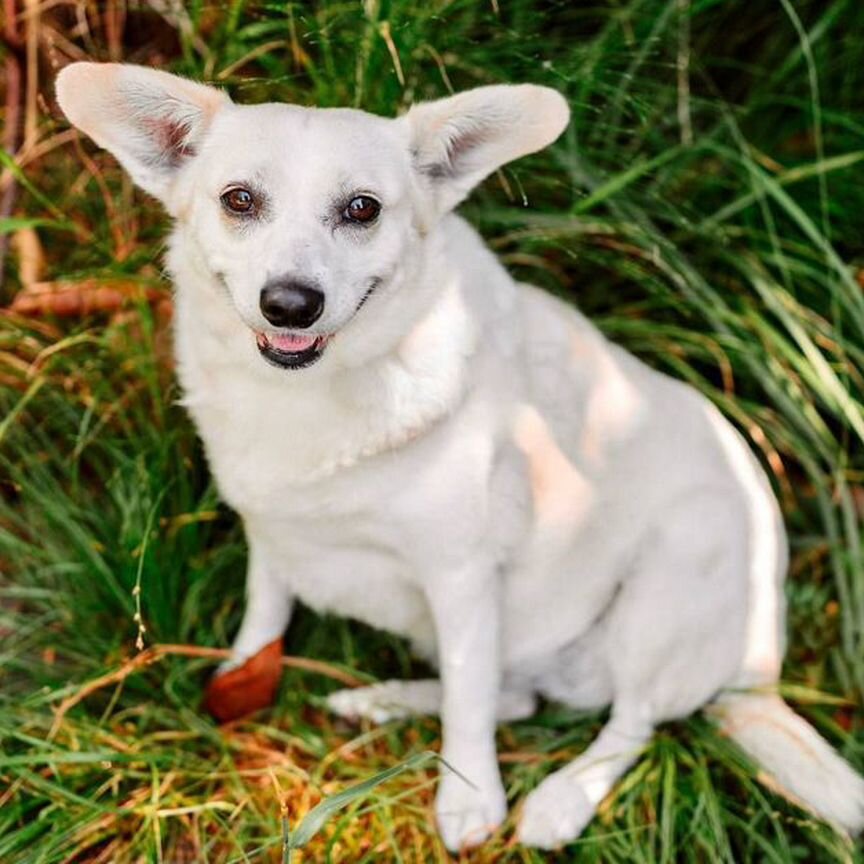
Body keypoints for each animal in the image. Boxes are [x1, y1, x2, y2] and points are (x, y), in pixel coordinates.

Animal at [57, 62, 860, 852]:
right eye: (239, 200)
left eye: (362, 209)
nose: (289, 304)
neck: (309, 396)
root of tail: (758, 670)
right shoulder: (271, 533)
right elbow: (265, 617)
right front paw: (238, 675)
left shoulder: (463, 577)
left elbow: (471, 703)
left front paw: (471, 798)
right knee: (518, 697)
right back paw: (385, 700)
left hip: (666, 592)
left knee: (625, 724)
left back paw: (561, 801)